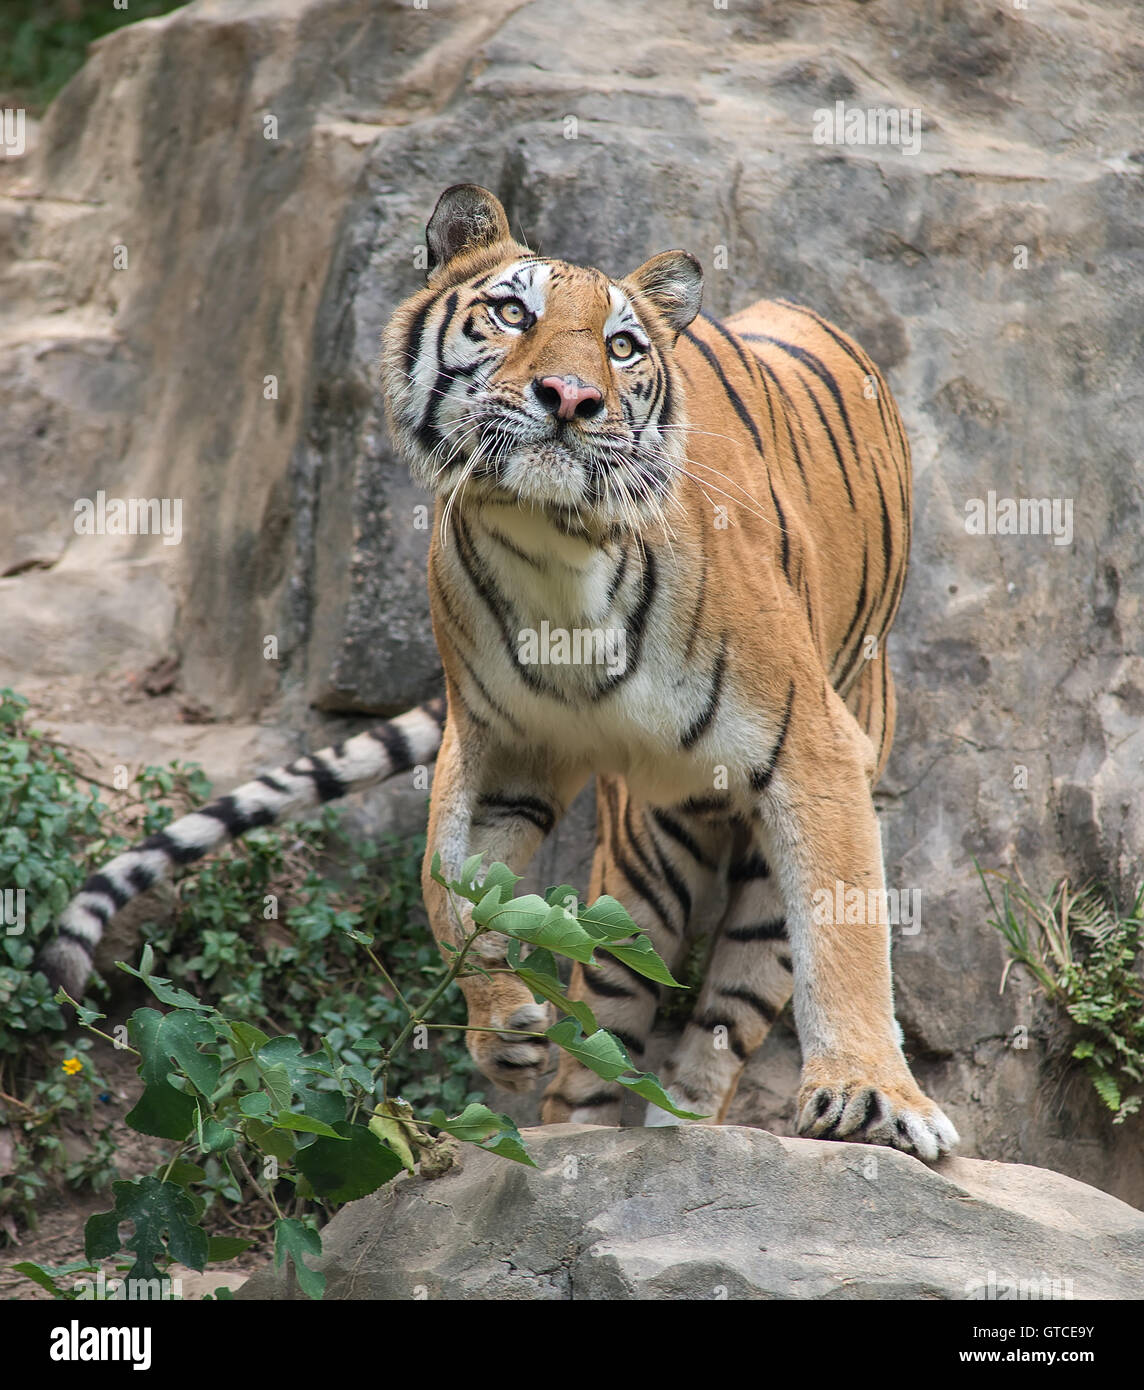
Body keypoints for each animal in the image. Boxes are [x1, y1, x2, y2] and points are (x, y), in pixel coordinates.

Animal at [40, 183, 958, 1161]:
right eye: (513, 313)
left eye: (622, 346)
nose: (573, 396)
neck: (551, 542)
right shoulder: (503, 744)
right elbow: (445, 886)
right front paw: (501, 1023)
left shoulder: (812, 748)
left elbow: (846, 932)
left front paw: (871, 1095)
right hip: (644, 857)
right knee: (607, 1027)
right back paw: (583, 1135)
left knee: (729, 1011)